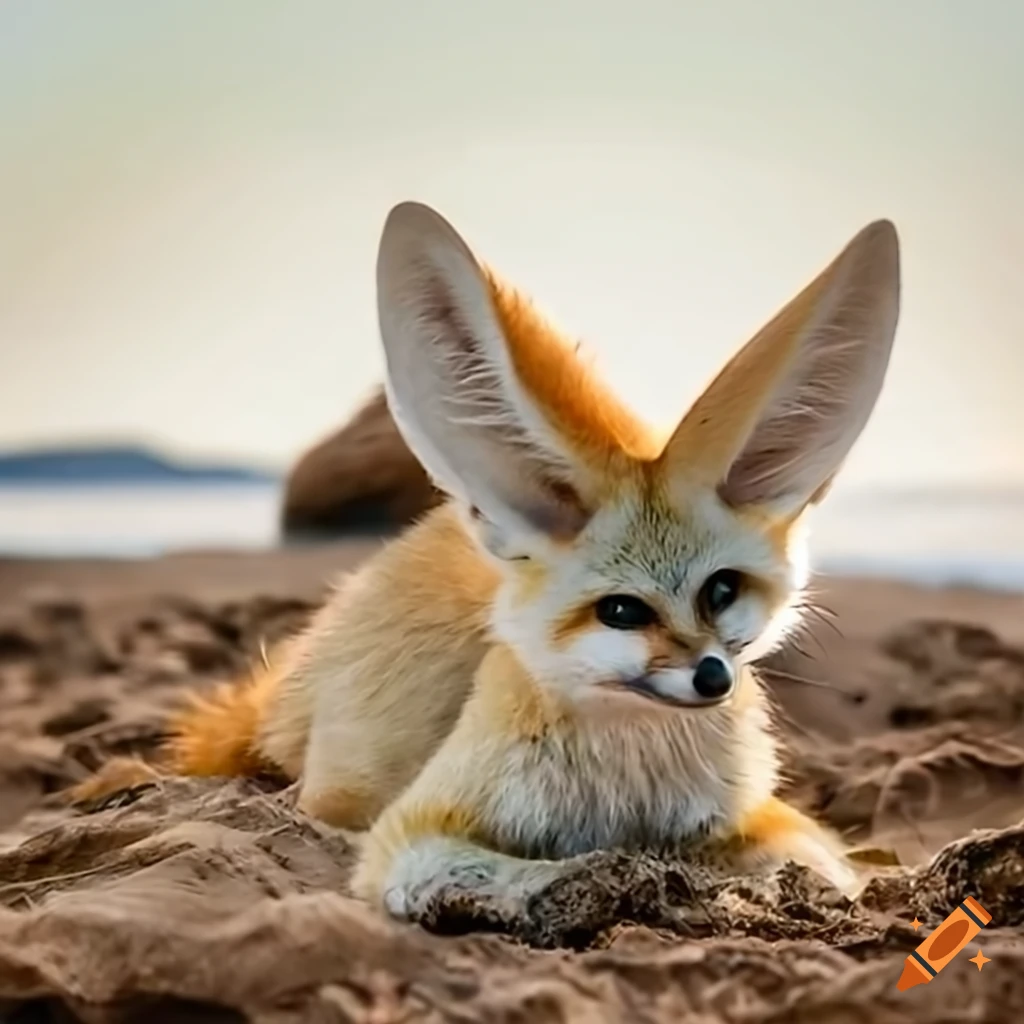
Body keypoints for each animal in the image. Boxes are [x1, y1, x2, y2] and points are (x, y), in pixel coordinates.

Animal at [72, 201, 900, 919]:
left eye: (721, 591)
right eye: (622, 611)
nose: (712, 677)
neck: (626, 788)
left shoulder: (755, 816)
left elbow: (818, 864)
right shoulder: (414, 830)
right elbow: (511, 869)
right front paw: (615, 880)